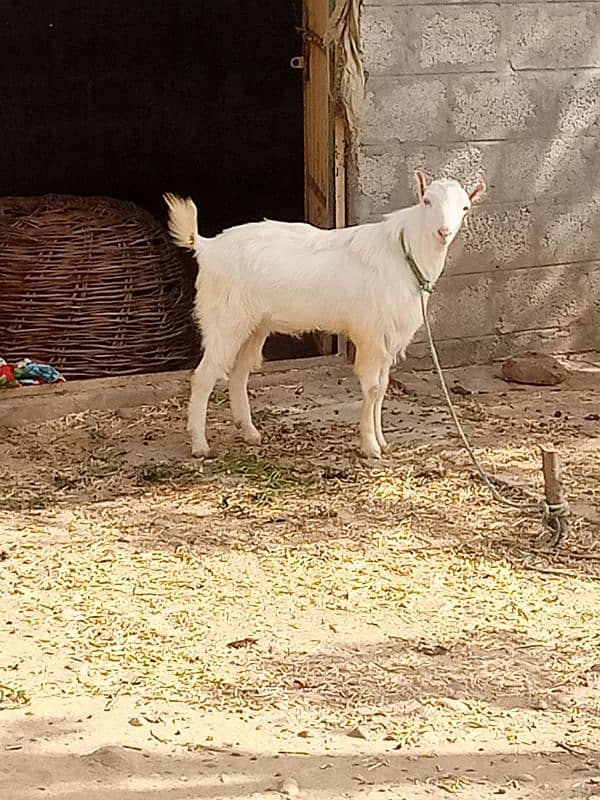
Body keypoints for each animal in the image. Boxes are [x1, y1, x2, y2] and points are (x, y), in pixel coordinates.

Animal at [164, 171, 485, 459]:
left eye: (465, 207)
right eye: (427, 201)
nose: (444, 233)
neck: (404, 253)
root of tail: (206, 246)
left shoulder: (388, 337)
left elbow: (382, 388)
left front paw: (382, 441)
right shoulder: (371, 334)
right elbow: (372, 388)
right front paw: (370, 446)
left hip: (255, 324)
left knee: (239, 373)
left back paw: (250, 432)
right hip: (224, 320)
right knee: (203, 376)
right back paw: (200, 445)